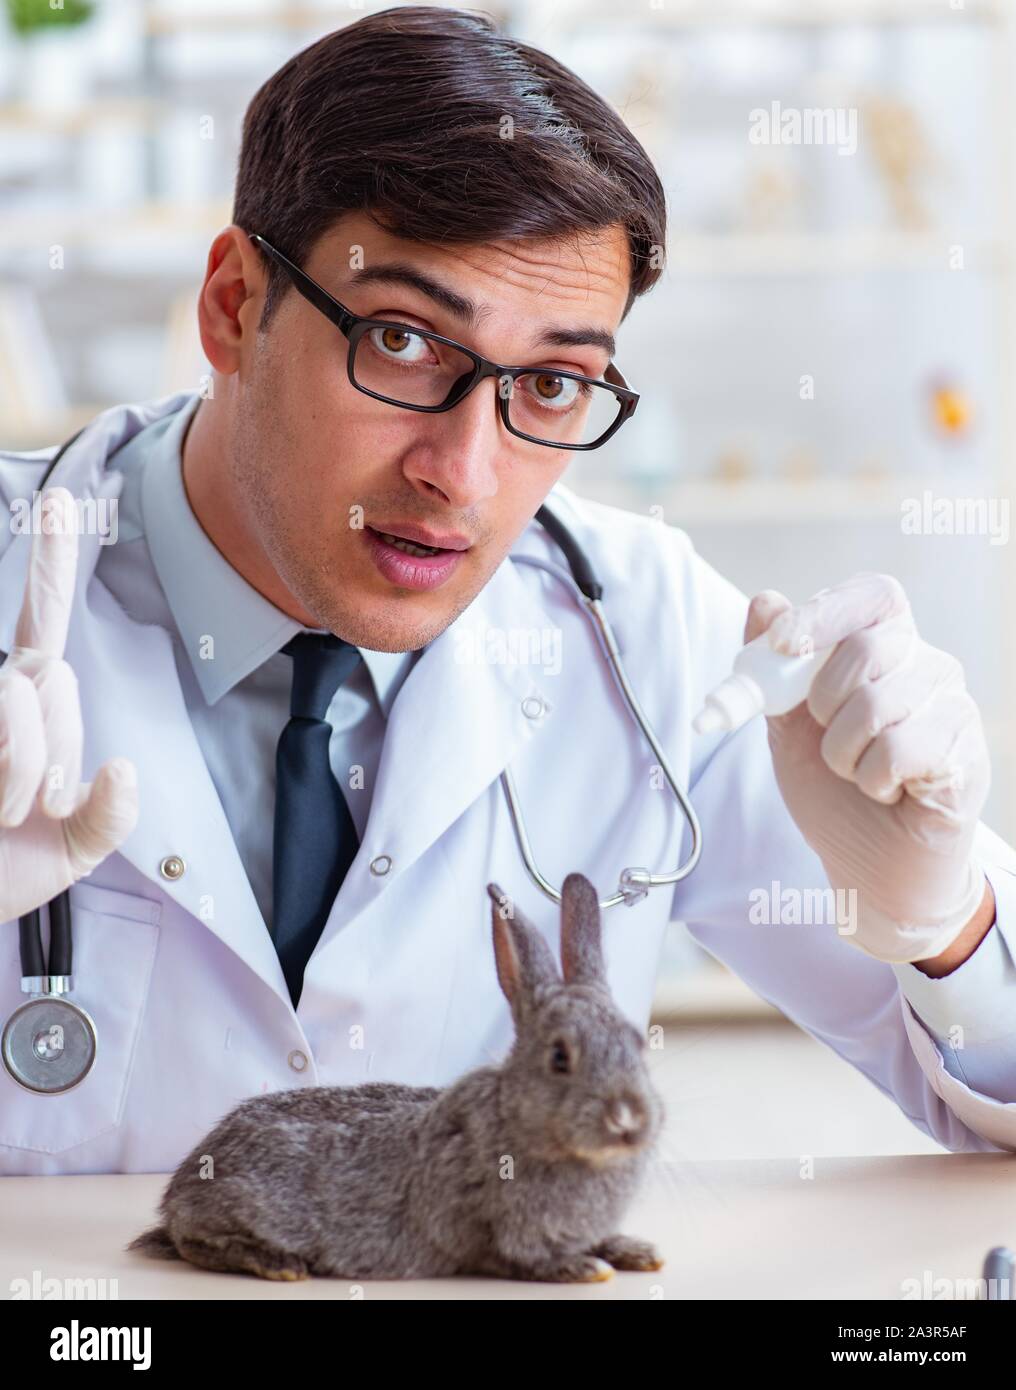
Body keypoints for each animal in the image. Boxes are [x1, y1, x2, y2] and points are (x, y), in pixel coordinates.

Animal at [127, 871, 665, 1283]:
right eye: (559, 1057)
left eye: (639, 1043)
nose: (628, 1119)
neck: (516, 1120)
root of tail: (180, 1187)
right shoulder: (475, 1227)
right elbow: (509, 1257)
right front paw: (582, 1269)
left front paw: (636, 1251)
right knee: (193, 1242)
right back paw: (279, 1263)